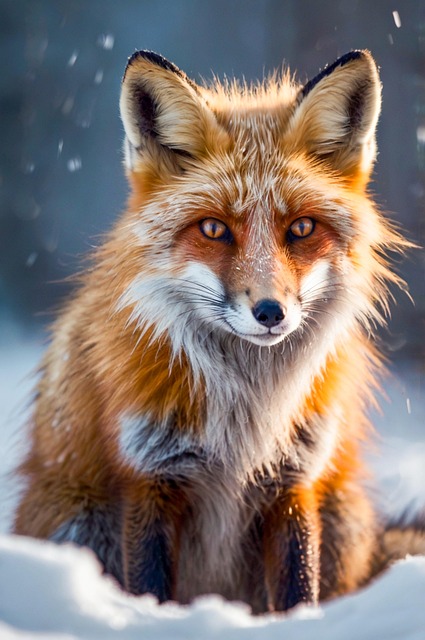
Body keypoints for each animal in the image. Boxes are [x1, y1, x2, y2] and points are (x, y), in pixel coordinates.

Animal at [13, 49, 425, 613]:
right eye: (213, 229)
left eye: (301, 228)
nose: (271, 312)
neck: (246, 415)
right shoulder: (148, 475)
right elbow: (151, 588)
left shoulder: (293, 479)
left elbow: (299, 590)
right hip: (80, 521)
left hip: (341, 518)